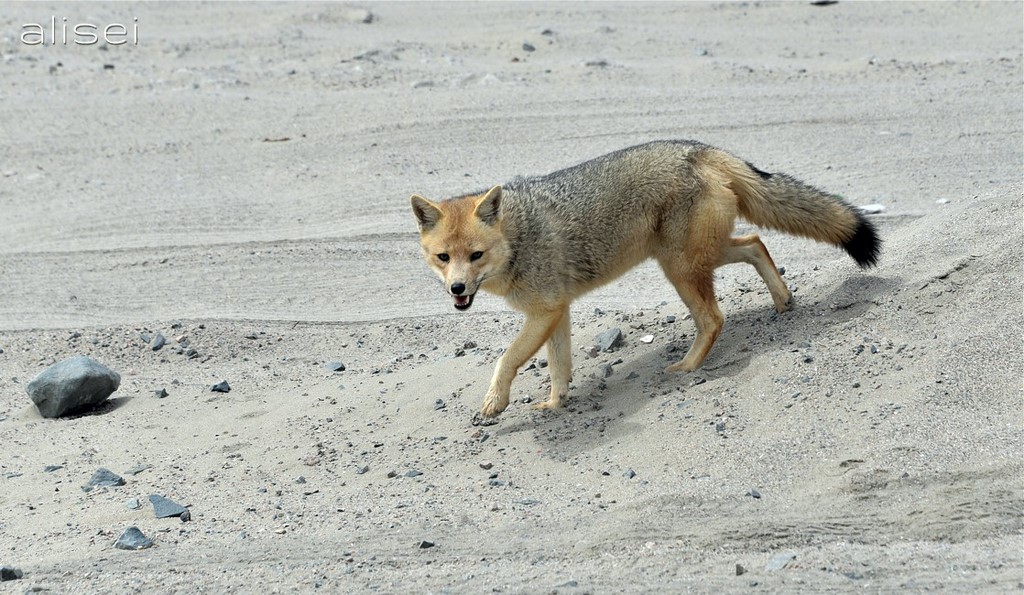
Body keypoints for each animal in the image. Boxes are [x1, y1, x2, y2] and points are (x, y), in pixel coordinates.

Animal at [410, 140, 880, 419]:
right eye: (443, 258)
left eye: (476, 256)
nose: (457, 289)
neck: (520, 235)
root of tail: (699, 148)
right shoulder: (556, 311)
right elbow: (559, 366)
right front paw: (555, 402)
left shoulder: (543, 311)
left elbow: (505, 359)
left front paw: (494, 402)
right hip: (699, 255)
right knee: (755, 243)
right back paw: (782, 301)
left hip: (681, 268)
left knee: (714, 318)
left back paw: (687, 367)